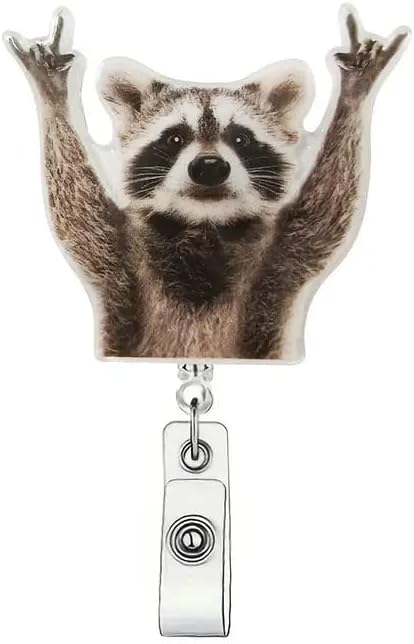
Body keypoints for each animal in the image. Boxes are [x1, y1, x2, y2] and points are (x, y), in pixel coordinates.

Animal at [4, 7, 409, 360]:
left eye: (241, 138)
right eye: (175, 138)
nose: (210, 167)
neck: (204, 225)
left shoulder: (279, 266)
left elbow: (327, 209)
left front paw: (353, 92)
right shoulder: (120, 266)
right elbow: (77, 213)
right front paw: (53, 93)